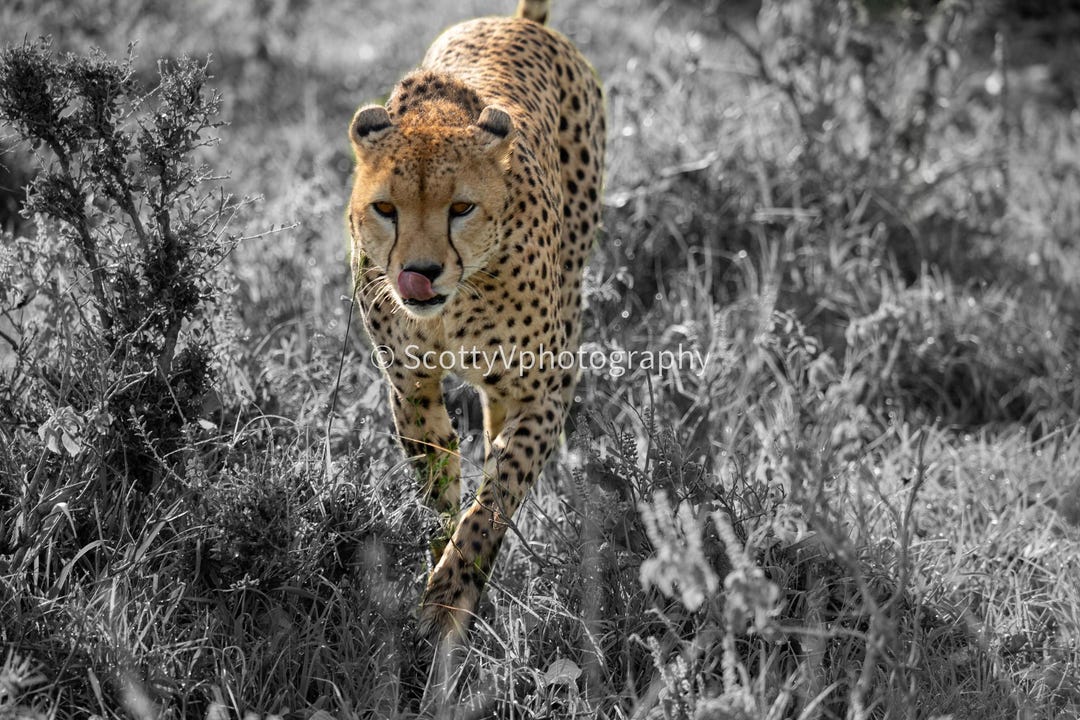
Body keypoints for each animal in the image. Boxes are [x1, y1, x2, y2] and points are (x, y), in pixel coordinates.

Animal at [346, 0, 604, 640]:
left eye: (461, 207)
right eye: (384, 208)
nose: (420, 273)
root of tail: (516, 20)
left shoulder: (545, 390)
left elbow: (497, 494)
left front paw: (452, 593)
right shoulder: (410, 388)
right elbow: (441, 490)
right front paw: (438, 557)